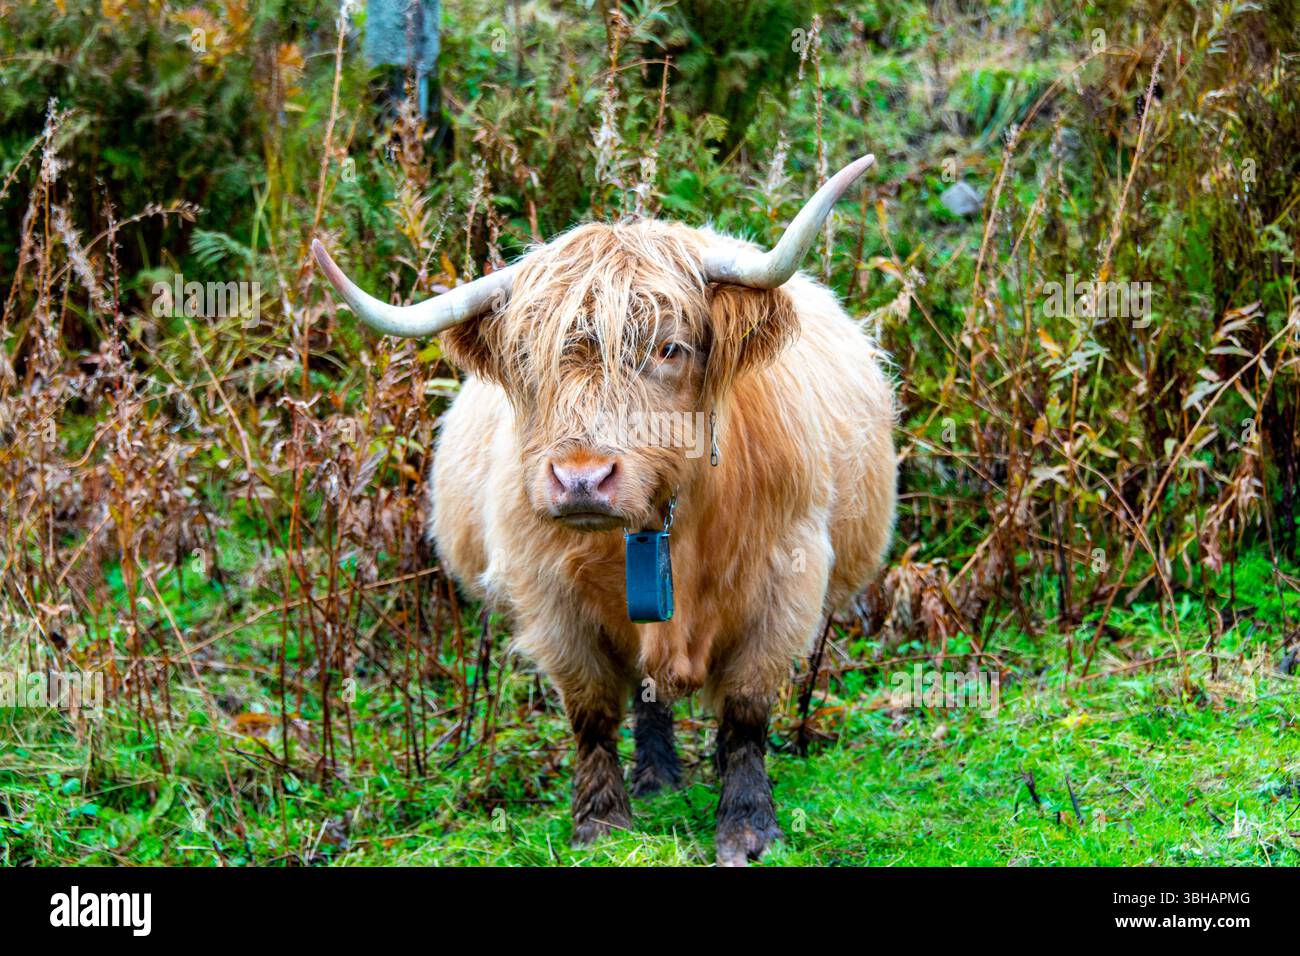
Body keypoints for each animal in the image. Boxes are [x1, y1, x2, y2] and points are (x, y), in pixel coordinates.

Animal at [312, 154, 897, 865]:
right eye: (527, 357)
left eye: (671, 348)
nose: (581, 479)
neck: (665, 527)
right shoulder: (550, 601)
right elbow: (590, 710)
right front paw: (601, 823)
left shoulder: (787, 580)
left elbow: (746, 711)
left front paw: (748, 829)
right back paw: (655, 780)